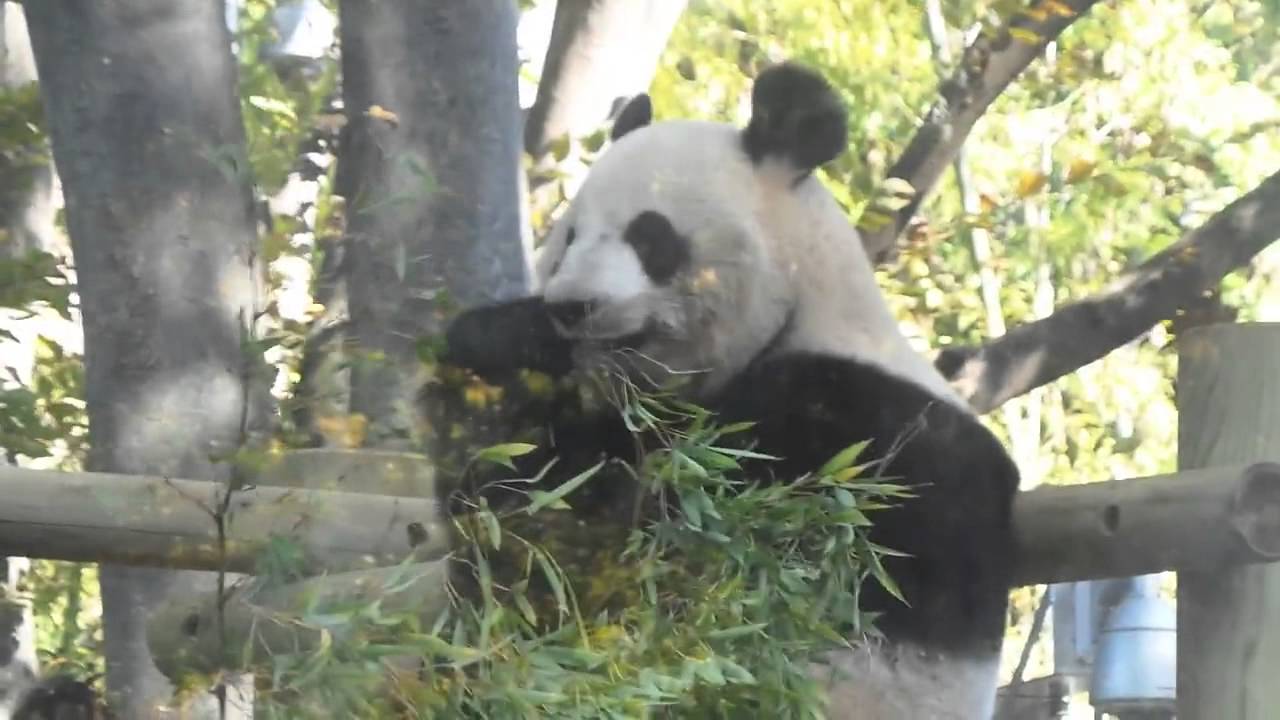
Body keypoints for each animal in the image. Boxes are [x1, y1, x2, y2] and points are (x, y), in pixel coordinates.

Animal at [427, 62, 1018, 719]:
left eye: (651, 238)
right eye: (570, 238)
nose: (571, 307)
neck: (802, 313)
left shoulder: (850, 433)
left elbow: (615, 553)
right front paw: (494, 351)